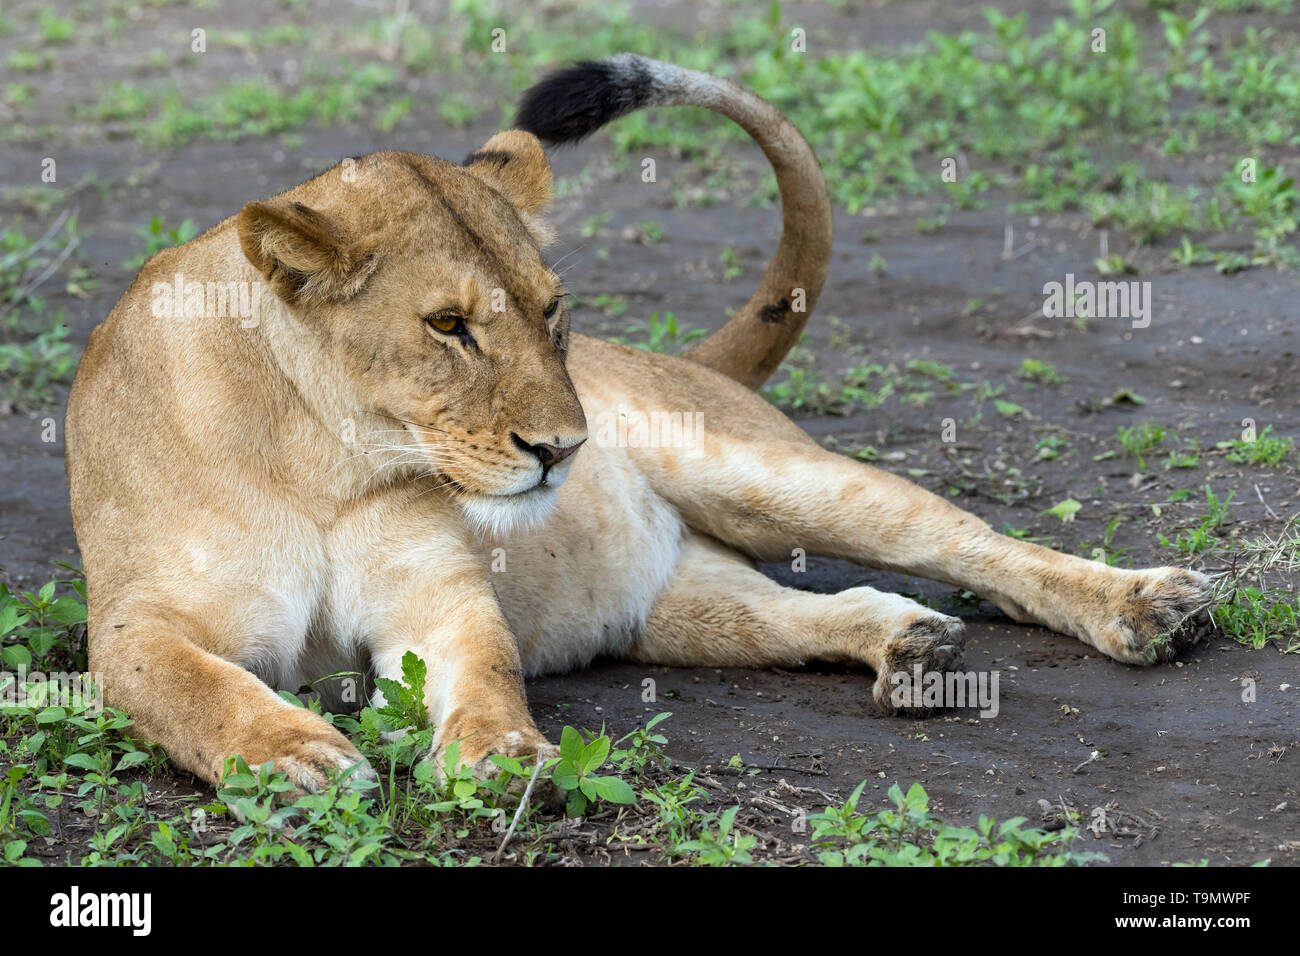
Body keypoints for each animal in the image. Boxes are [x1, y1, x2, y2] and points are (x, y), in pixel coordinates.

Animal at [65, 54, 1211, 793]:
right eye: (448, 325)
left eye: (551, 309)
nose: (562, 450)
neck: (327, 453)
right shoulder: (134, 621)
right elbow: (193, 685)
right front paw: (293, 754)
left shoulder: (439, 594)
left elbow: (487, 673)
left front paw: (502, 757)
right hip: (684, 605)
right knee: (806, 610)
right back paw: (913, 646)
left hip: (768, 477)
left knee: (976, 545)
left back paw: (1146, 605)